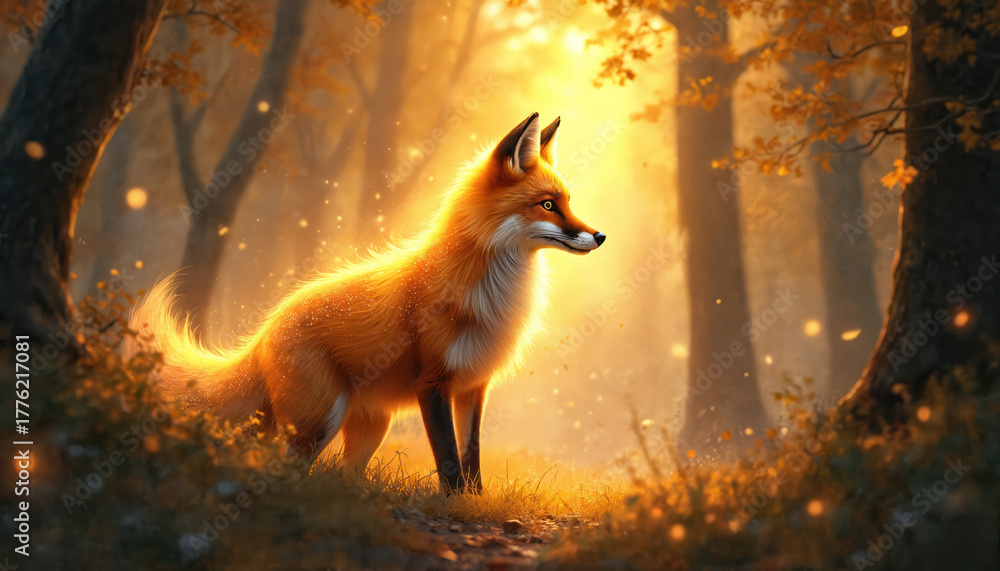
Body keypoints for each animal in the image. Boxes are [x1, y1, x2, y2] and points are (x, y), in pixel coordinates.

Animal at [130, 113, 605, 493]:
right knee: (284, 471)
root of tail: (264, 331)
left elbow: (471, 458)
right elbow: (449, 459)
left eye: (567, 203)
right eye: (548, 205)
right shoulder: (432, 383)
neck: (489, 291)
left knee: (341, 475)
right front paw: (453, 503)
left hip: (369, 427)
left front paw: (475, 503)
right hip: (317, 421)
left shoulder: (473, 385)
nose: (600, 235)